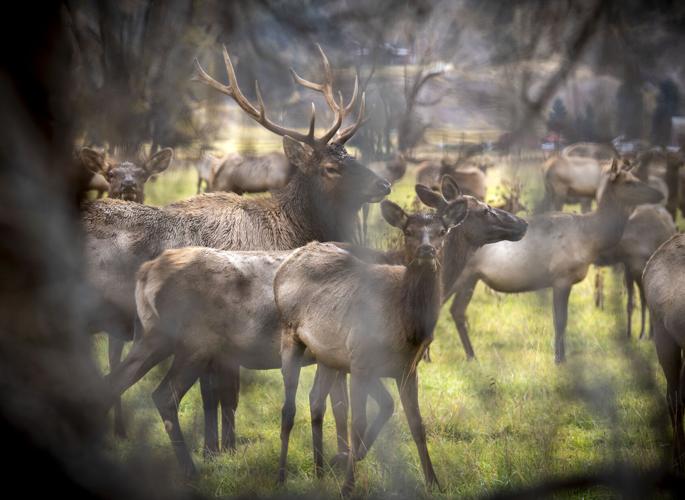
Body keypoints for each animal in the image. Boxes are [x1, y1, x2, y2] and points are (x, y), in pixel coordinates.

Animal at [82, 44, 389, 453]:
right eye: (329, 167)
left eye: (352, 155)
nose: (384, 184)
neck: (289, 230)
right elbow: (225, 394)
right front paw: (220, 447)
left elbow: (216, 396)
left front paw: (215, 447)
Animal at [274, 198, 470, 496]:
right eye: (409, 231)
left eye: (442, 231)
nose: (426, 250)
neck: (406, 327)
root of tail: (286, 263)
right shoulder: (361, 359)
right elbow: (357, 424)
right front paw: (347, 486)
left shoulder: (407, 369)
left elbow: (416, 424)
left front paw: (433, 482)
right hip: (290, 333)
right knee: (288, 408)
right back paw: (282, 476)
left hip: (329, 356)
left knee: (316, 401)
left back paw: (319, 471)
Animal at [447, 159, 663, 363]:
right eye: (629, 182)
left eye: (635, 177)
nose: (659, 194)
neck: (592, 239)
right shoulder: (561, 277)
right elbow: (560, 321)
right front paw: (560, 359)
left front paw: (561, 356)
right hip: (459, 277)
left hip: (471, 278)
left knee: (456, 311)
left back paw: (471, 355)